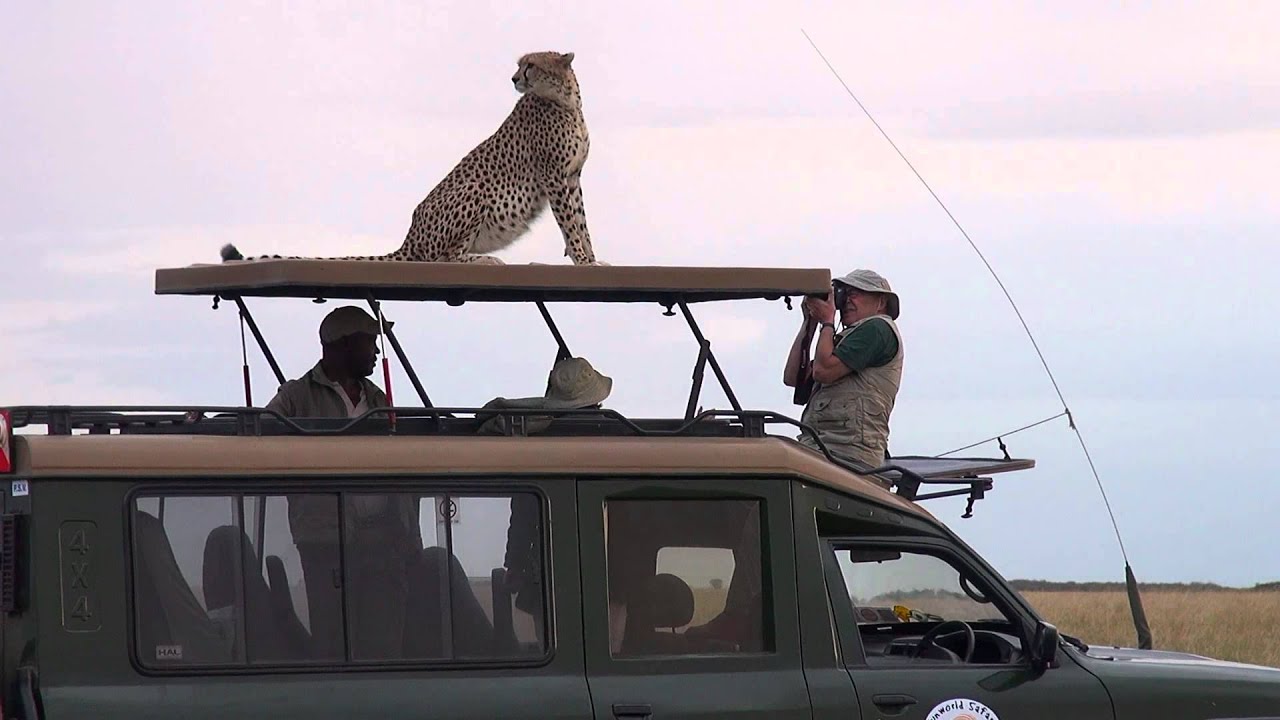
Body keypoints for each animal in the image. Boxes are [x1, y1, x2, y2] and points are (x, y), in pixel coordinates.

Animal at [219, 50, 604, 266]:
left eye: (531, 65)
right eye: (520, 65)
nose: (513, 78)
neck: (567, 102)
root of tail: (409, 240)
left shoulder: (572, 177)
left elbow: (580, 222)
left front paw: (592, 258)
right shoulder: (555, 177)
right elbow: (570, 223)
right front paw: (584, 261)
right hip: (474, 190)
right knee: (443, 258)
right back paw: (483, 258)